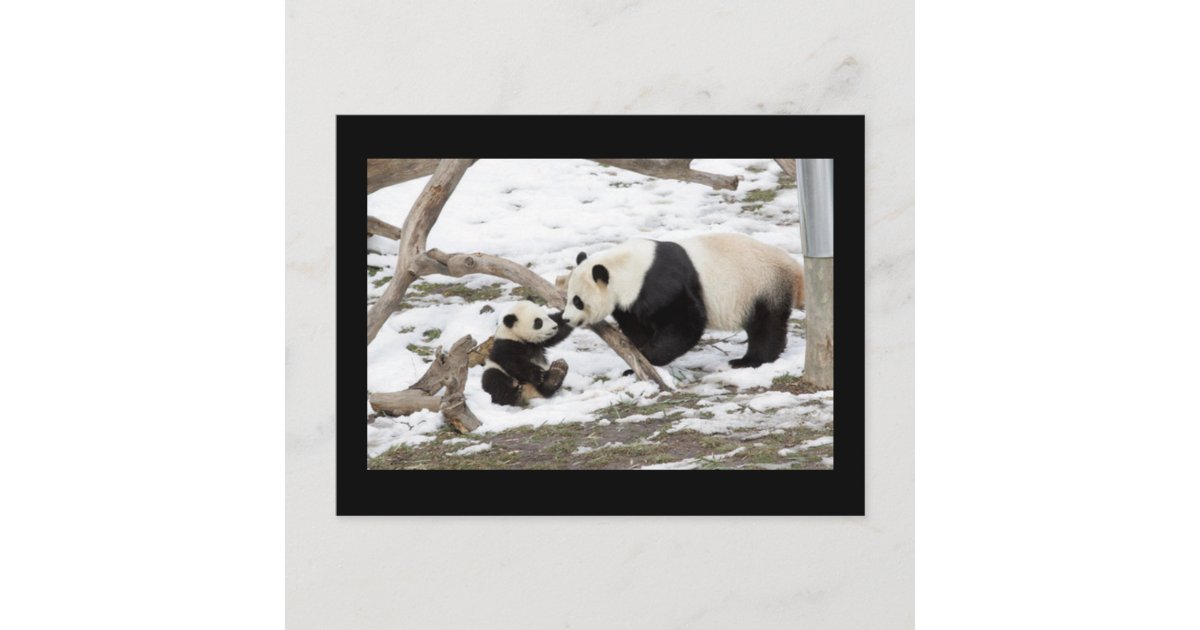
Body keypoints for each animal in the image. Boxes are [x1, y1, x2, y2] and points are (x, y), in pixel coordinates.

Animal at [562, 233, 804, 369]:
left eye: (577, 301)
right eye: (569, 298)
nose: (566, 319)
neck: (624, 266)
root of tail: (794, 270)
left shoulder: (661, 283)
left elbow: (686, 324)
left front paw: (648, 357)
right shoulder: (632, 300)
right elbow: (637, 326)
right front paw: (639, 356)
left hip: (761, 286)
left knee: (765, 325)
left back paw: (751, 360)